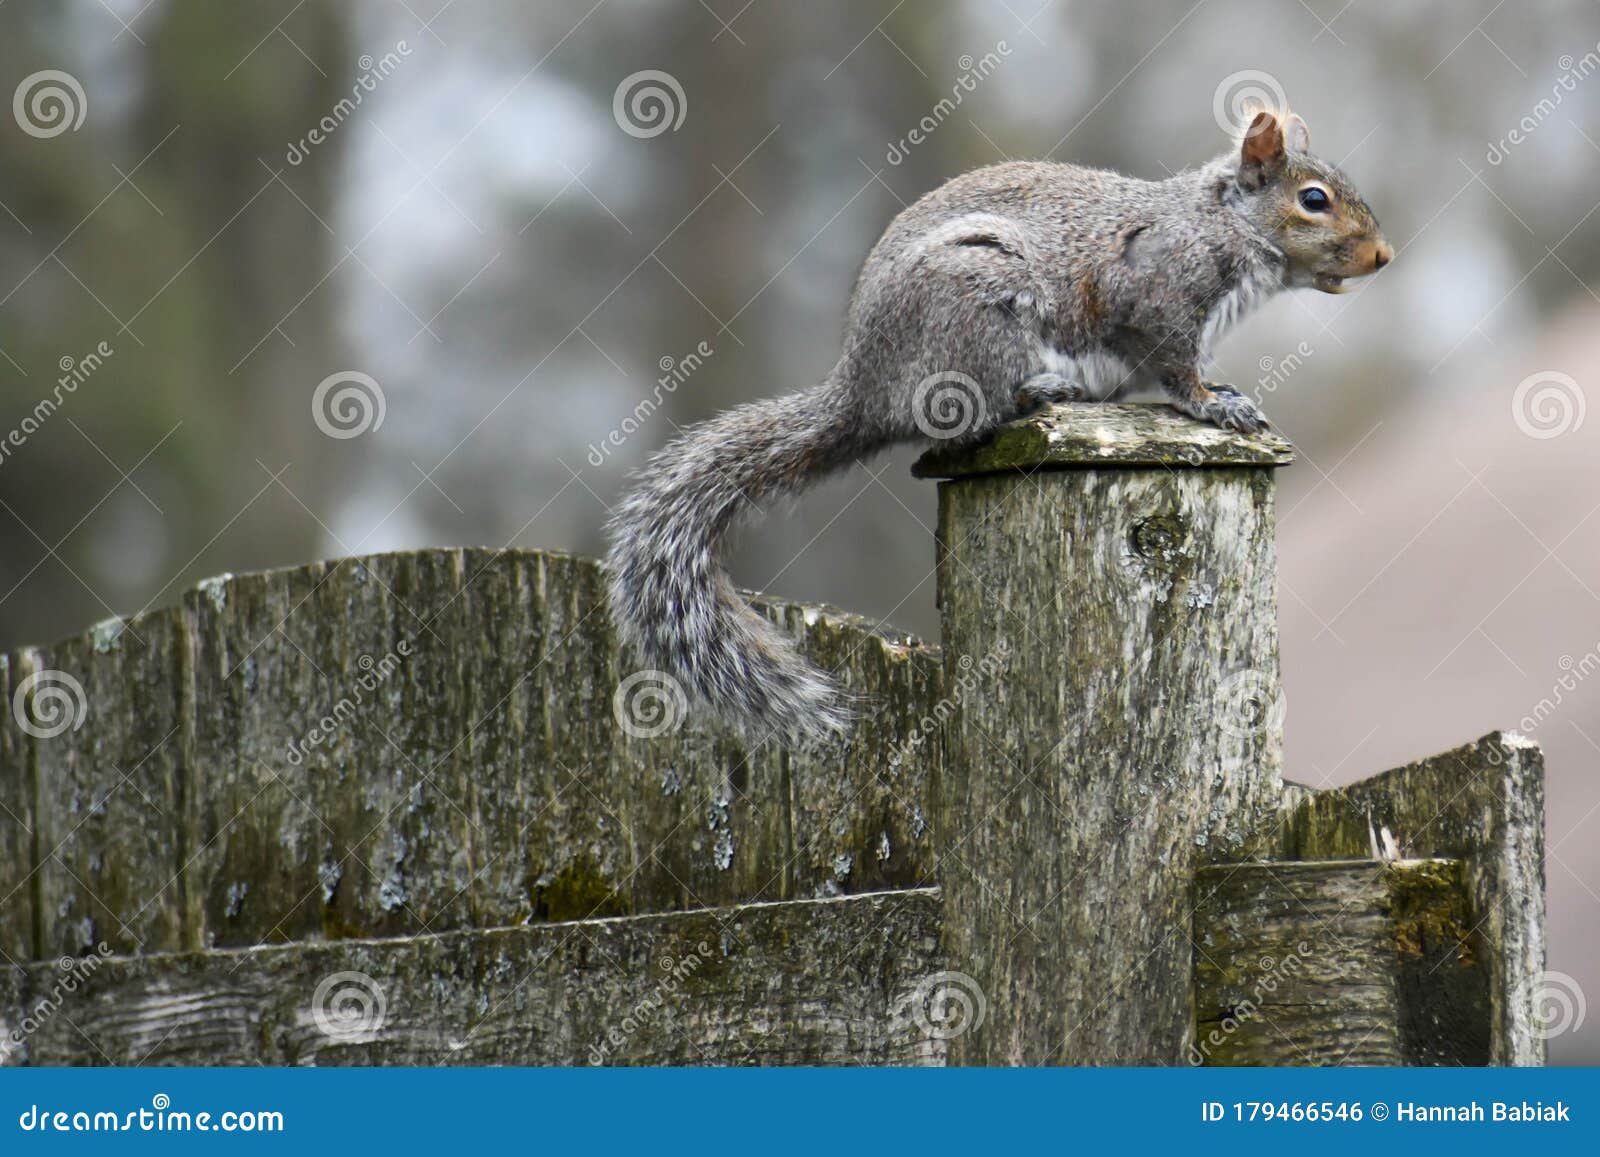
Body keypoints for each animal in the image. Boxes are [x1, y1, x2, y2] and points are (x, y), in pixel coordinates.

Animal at [606, 104, 1391, 743]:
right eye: (1313, 200)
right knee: (968, 421)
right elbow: (1175, 368)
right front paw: (1214, 403)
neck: (1222, 224)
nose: (1382, 256)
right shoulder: (1155, 296)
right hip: (973, 316)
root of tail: (864, 388)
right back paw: (1043, 390)